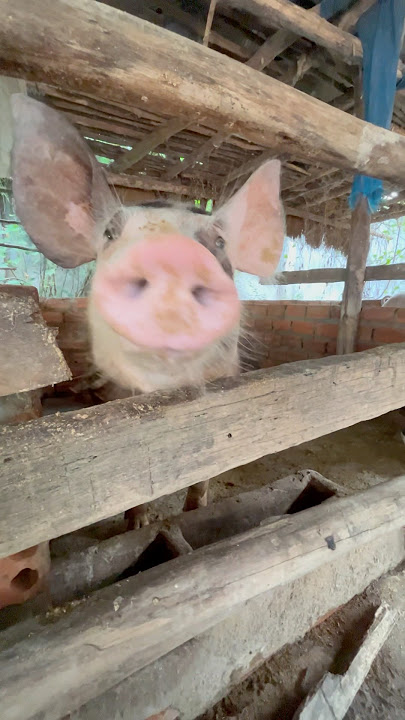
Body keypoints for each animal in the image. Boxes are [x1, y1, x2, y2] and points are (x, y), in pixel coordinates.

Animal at [11, 94, 285, 528]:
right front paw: (137, 524)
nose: (167, 254)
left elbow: (205, 474)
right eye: (109, 234)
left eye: (219, 242)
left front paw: (195, 512)